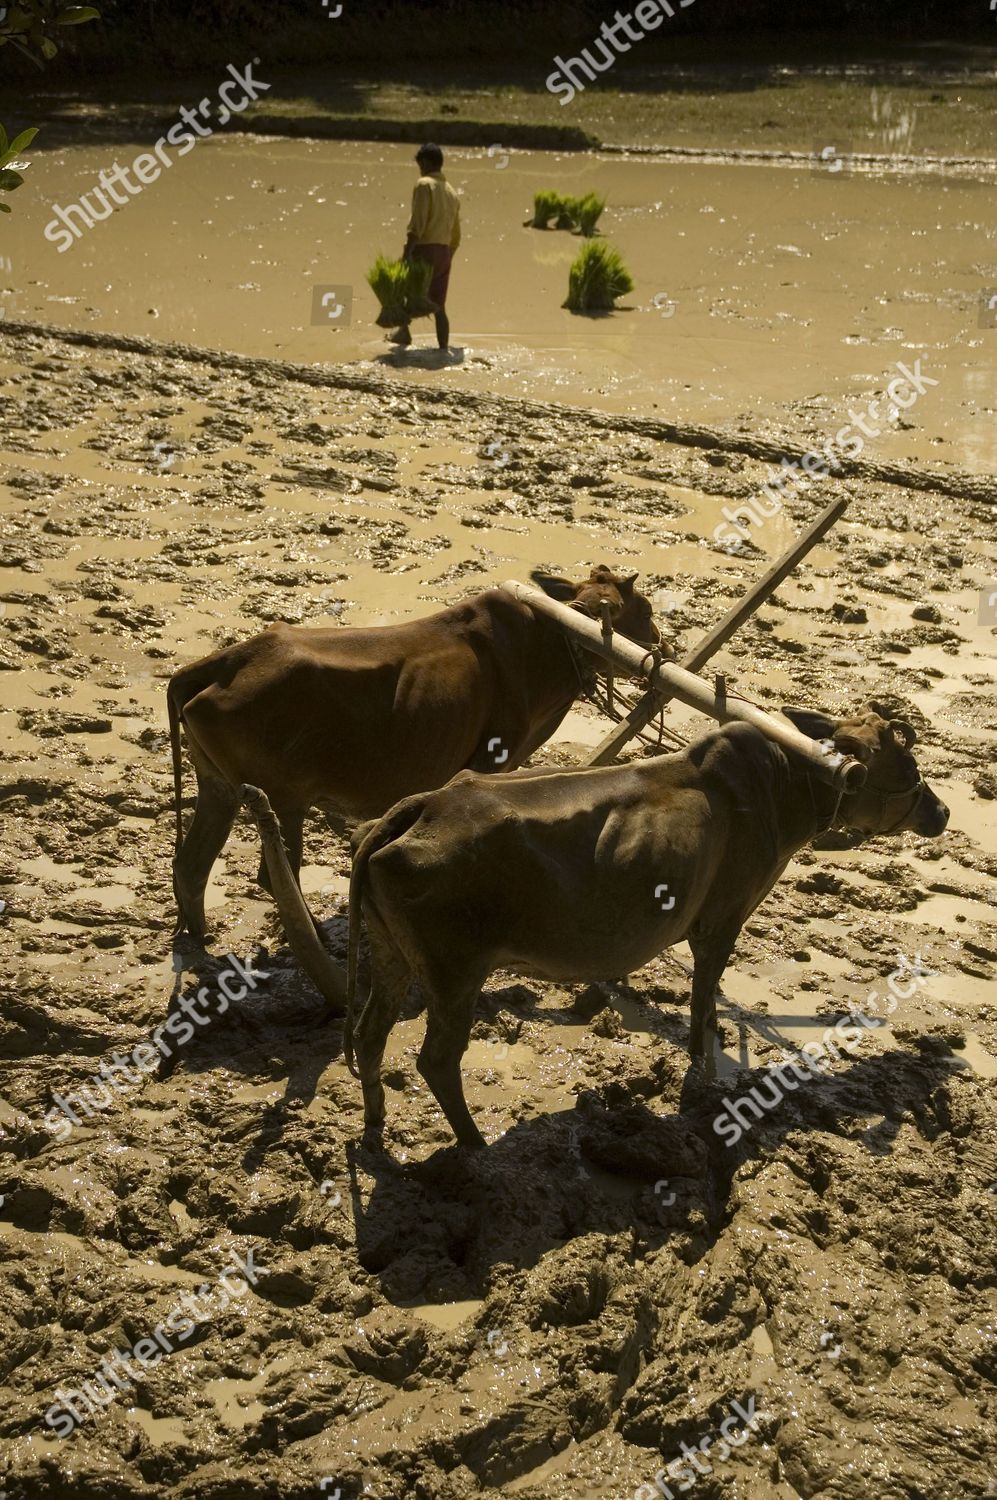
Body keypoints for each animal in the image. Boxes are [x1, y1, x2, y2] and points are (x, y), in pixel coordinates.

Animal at [168, 566, 662, 941]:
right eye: (646, 609)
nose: (660, 639)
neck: (546, 648)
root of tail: (222, 663)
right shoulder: (492, 759)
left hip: (218, 786)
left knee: (190, 866)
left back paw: (199, 939)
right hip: (282, 799)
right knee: (276, 878)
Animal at [243, 703, 949, 1149]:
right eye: (909, 772)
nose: (941, 812)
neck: (784, 784)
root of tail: (413, 810)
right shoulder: (721, 923)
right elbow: (702, 1003)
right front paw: (703, 1068)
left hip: (392, 958)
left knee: (368, 1038)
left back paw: (373, 1129)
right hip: (453, 976)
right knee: (436, 1060)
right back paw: (475, 1145)